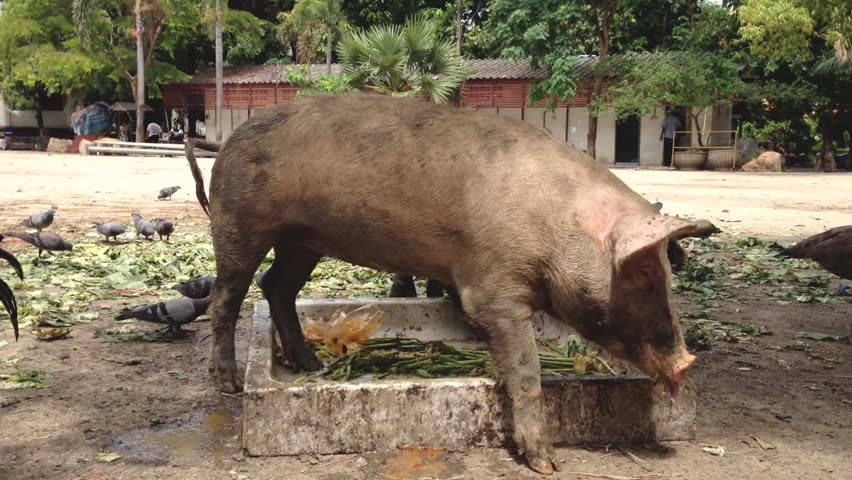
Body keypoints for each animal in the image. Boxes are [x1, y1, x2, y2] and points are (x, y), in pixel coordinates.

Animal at [185, 95, 697, 475]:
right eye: (644, 274)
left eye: (667, 271)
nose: (686, 362)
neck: (557, 224)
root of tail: (226, 141)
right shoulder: (494, 287)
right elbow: (526, 370)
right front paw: (547, 464)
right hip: (239, 223)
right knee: (227, 296)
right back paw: (229, 384)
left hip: (302, 240)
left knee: (276, 286)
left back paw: (311, 366)